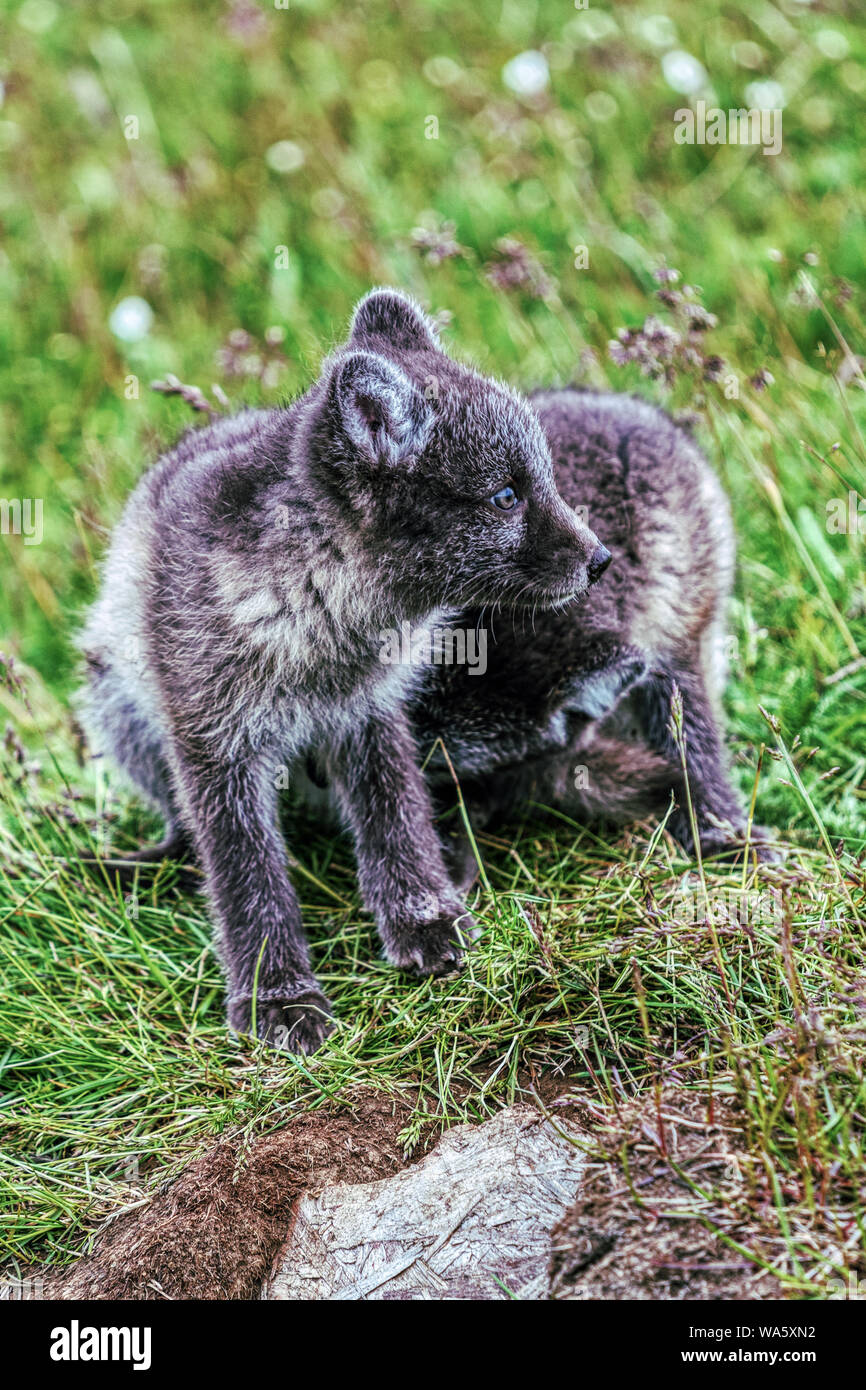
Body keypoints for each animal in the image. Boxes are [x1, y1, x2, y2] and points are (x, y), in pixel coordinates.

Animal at [78, 289, 610, 1053]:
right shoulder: (213, 744)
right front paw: (276, 996)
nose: (601, 560)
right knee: (186, 830)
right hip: (116, 706)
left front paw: (425, 919)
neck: (317, 609)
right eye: (507, 495)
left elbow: (397, 819)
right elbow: (247, 878)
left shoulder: (369, 711)